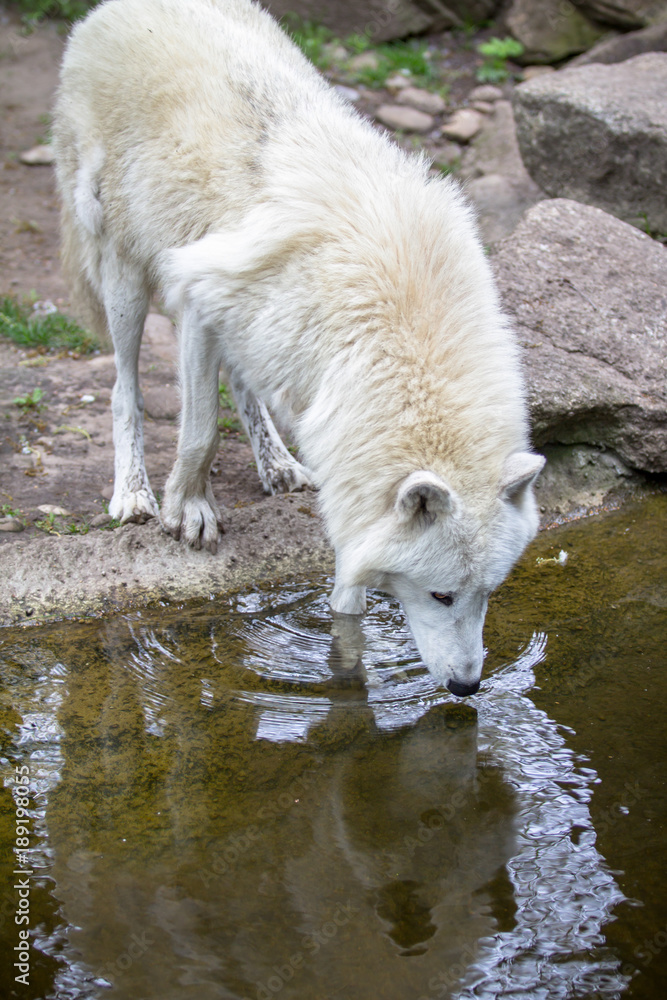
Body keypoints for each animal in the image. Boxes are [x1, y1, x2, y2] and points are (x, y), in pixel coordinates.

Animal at [52, 0, 544, 696]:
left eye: (487, 594)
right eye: (442, 596)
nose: (468, 687)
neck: (386, 318)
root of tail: (107, 13)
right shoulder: (197, 295)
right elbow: (199, 430)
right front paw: (188, 511)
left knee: (242, 385)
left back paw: (278, 466)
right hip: (124, 277)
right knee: (125, 386)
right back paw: (135, 495)